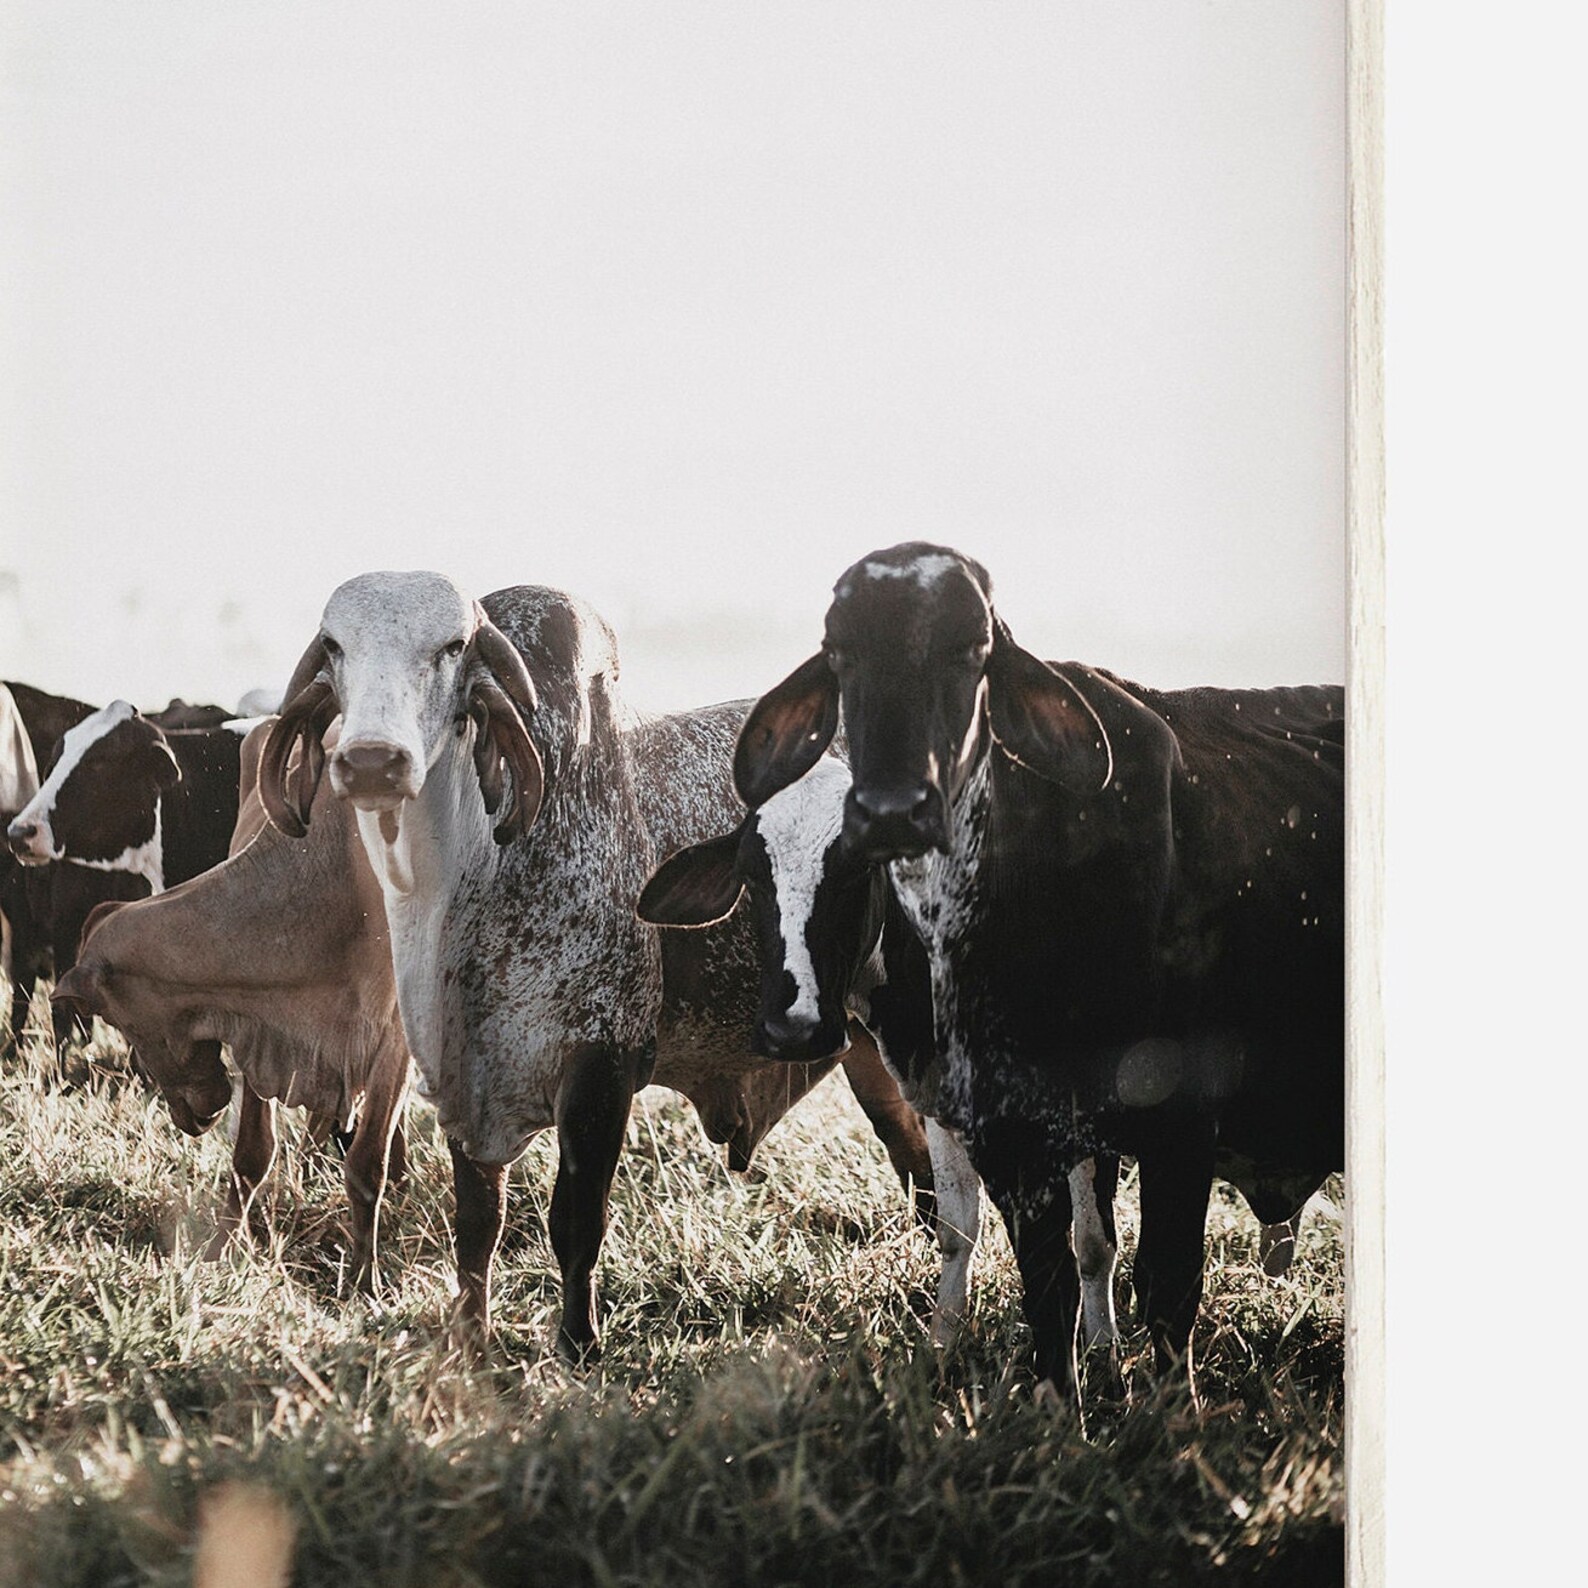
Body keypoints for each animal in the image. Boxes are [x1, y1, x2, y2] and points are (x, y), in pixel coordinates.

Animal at [52, 721, 411, 1292]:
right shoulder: (258, 1036)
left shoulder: (394, 1039)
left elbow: (365, 1164)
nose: (192, 1118)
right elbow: (251, 1154)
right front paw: (223, 1247)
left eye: (119, 1022)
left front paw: (364, 1278)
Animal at [255, 574, 933, 1360]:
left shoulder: (602, 1070)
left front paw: (578, 1342)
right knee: (915, 1161)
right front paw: (470, 1336)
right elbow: (477, 1224)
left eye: (453, 646)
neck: (474, 880)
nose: (371, 761)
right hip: (865, 1047)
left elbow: (575, 1222)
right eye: (336, 646)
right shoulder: (463, 1079)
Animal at [729, 542, 1344, 1401]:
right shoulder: (984, 1116)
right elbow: (1006, 1257)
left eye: (973, 650)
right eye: (839, 651)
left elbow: (1150, 1275)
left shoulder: (1171, 1123)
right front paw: (988, 1364)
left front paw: (1142, 1385)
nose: (891, 810)